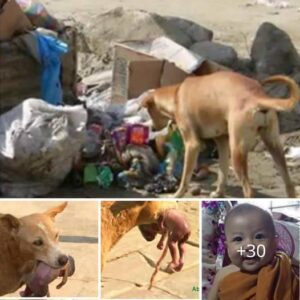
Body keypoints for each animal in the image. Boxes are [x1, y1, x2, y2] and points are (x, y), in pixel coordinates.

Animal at [141, 69, 300, 198]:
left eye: (149, 111)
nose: (153, 129)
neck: (176, 95)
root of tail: (256, 96)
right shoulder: (222, 143)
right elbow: (222, 172)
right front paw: (219, 193)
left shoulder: (192, 145)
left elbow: (186, 175)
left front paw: (178, 194)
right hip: (274, 147)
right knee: (290, 186)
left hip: (237, 153)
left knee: (249, 191)